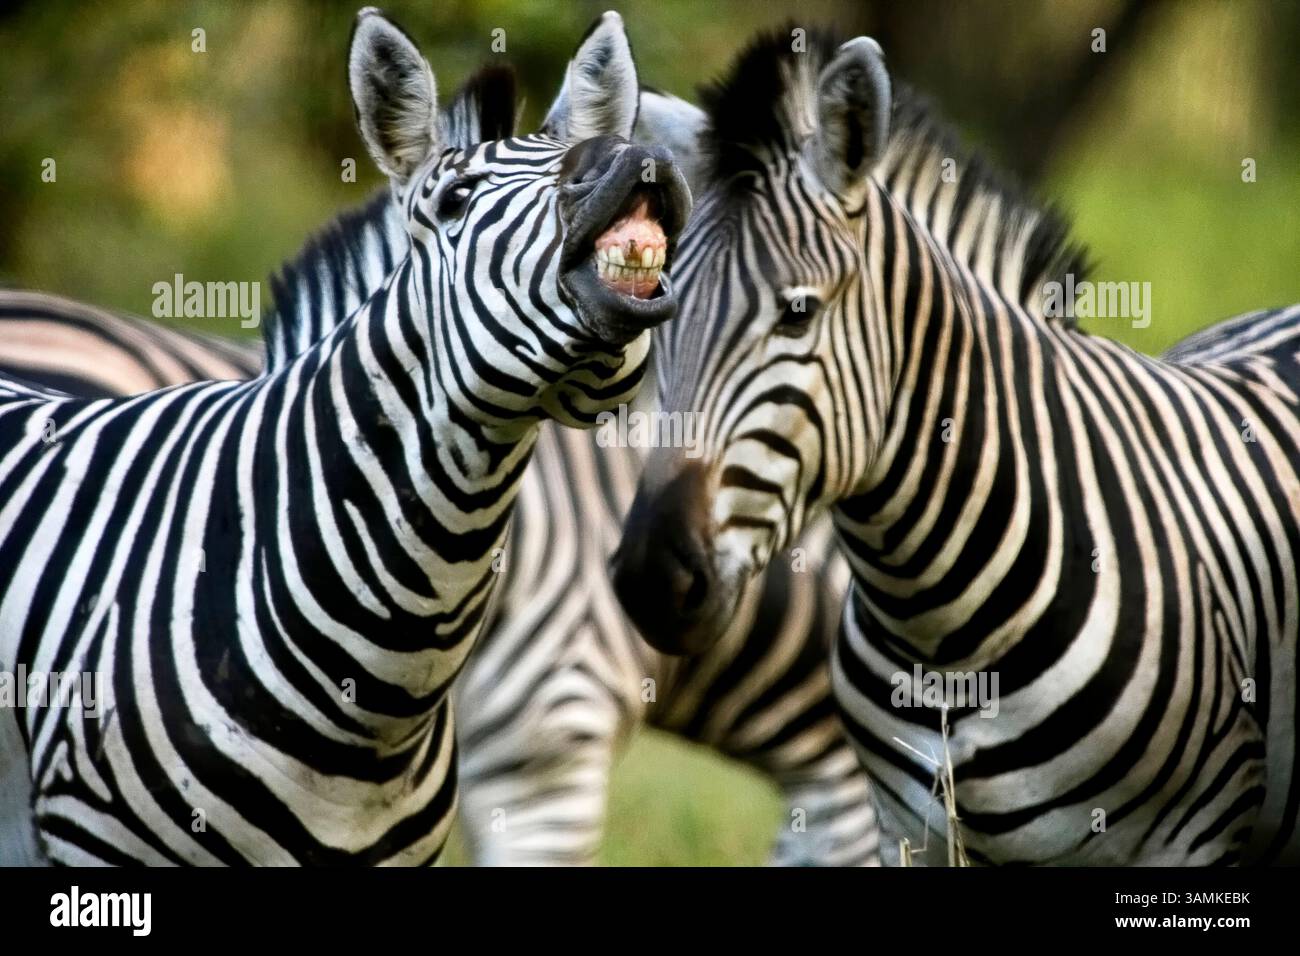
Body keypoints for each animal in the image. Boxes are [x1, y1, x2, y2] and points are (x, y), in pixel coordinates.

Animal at [609, 27, 1300, 865]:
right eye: (662, 320)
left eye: (797, 314)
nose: (650, 576)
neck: (940, 627)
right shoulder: (909, 833)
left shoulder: (1191, 837)